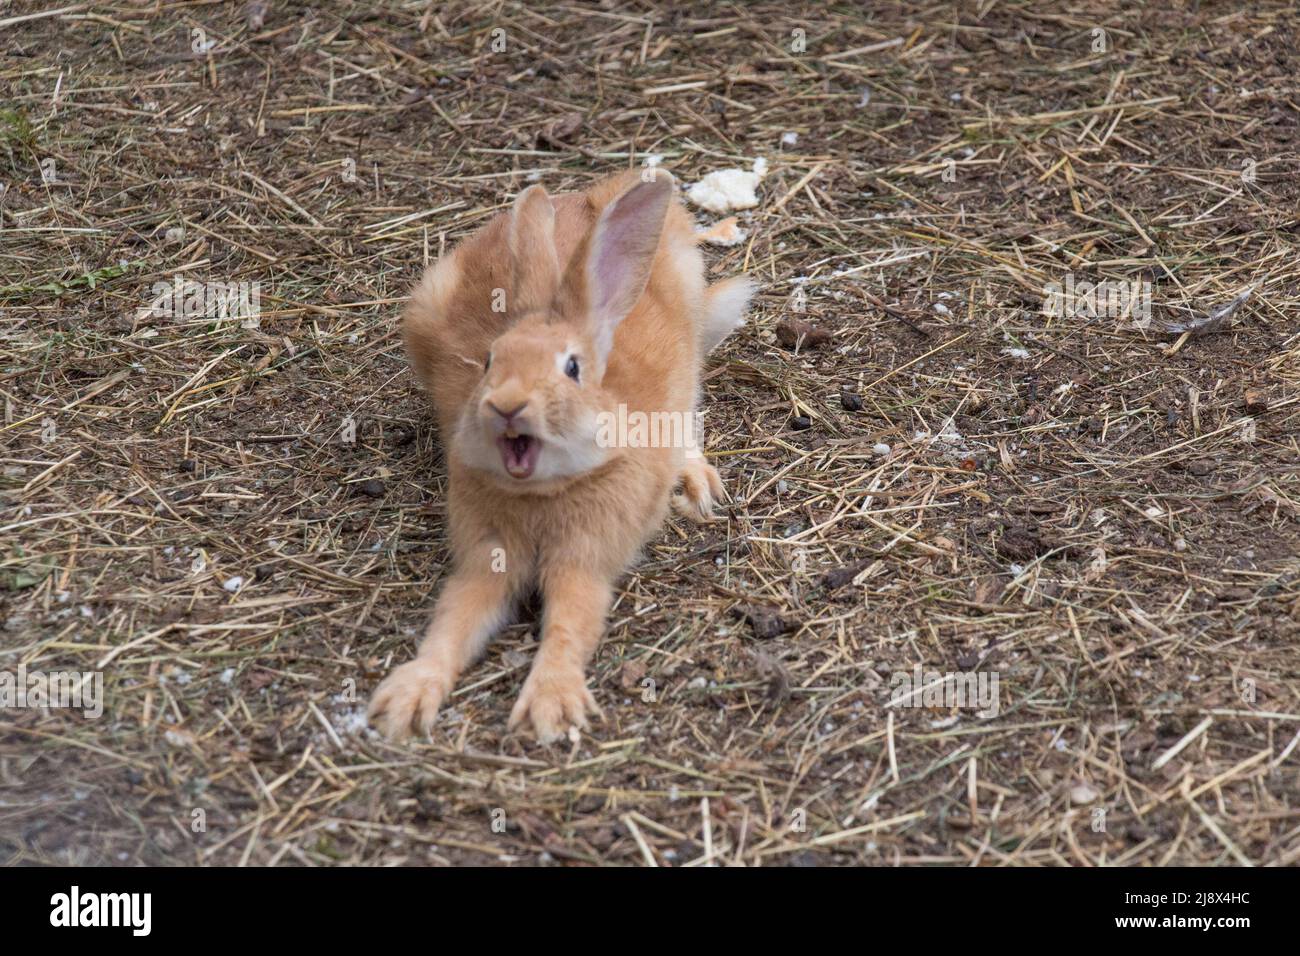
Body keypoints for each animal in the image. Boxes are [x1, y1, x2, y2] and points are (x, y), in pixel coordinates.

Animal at [368, 168, 752, 743]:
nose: (506, 405)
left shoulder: (584, 561)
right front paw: (405, 699)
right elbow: (453, 621)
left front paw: (550, 705)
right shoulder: (485, 559)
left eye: (571, 368)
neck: (541, 491)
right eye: (489, 361)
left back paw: (694, 483)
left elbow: (571, 622)